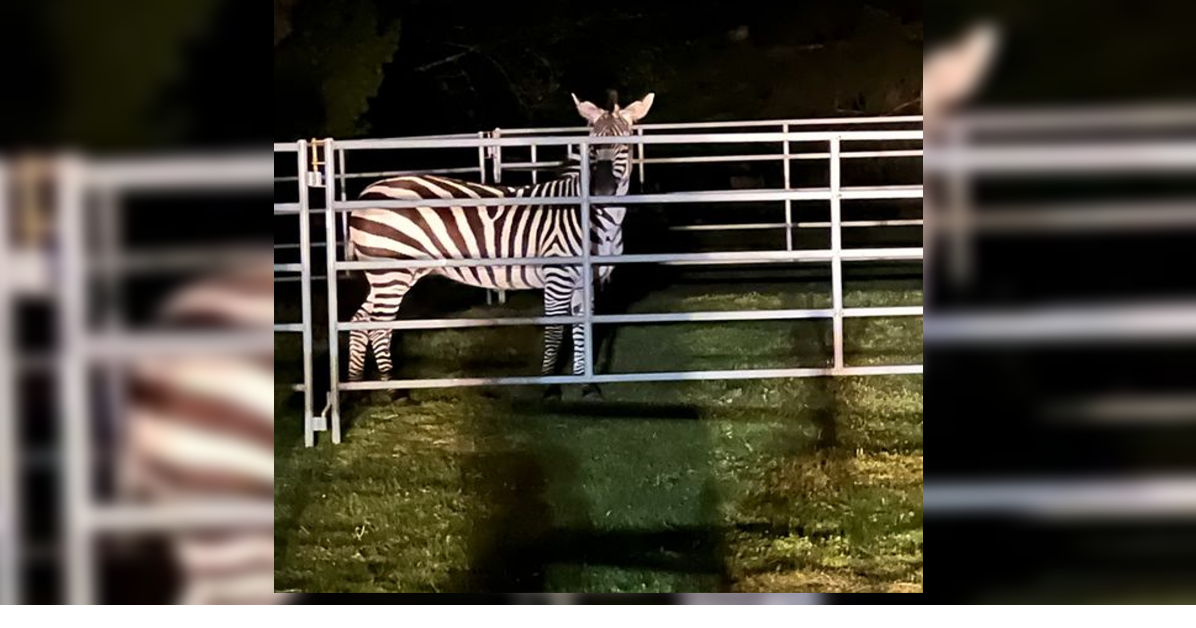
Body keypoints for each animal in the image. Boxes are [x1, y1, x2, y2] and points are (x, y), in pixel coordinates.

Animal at [346, 92, 655, 401]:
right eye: (591, 146)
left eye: (625, 145)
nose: (602, 188)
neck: (593, 216)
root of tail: (367, 191)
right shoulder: (557, 276)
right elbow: (555, 331)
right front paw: (549, 386)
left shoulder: (585, 281)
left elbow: (582, 329)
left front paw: (586, 384)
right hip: (391, 271)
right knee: (378, 325)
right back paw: (393, 389)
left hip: (391, 274)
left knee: (361, 319)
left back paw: (355, 386)